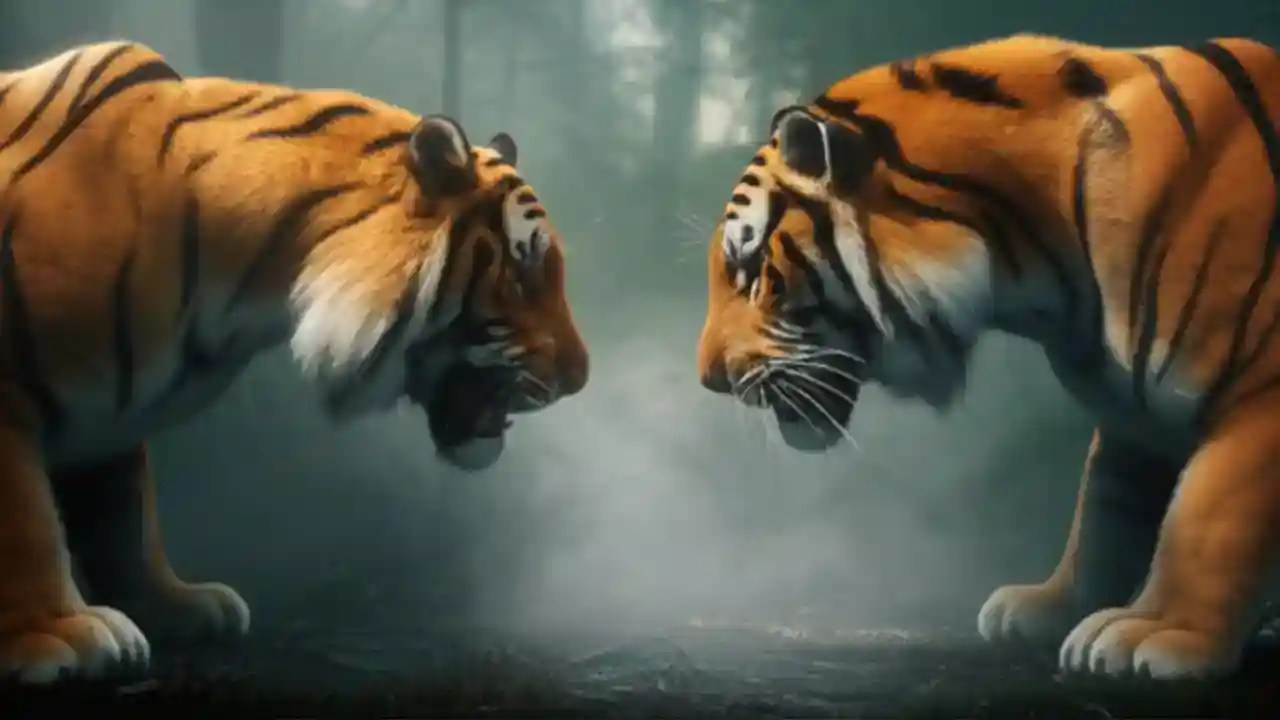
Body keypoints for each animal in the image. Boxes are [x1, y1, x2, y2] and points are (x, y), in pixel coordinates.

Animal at [0, 40, 588, 685]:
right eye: (524, 266)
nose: (581, 378)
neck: (247, 284)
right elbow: (28, 523)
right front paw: (57, 633)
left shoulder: (113, 418)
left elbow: (126, 523)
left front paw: (176, 605)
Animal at [695, 33, 1280, 680]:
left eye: (749, 268)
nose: (708, 377)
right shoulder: (1132, 415)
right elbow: (1103, 519)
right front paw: (1048, 608)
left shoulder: (1262, 393)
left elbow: (1205, 520)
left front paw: (1157, 632)